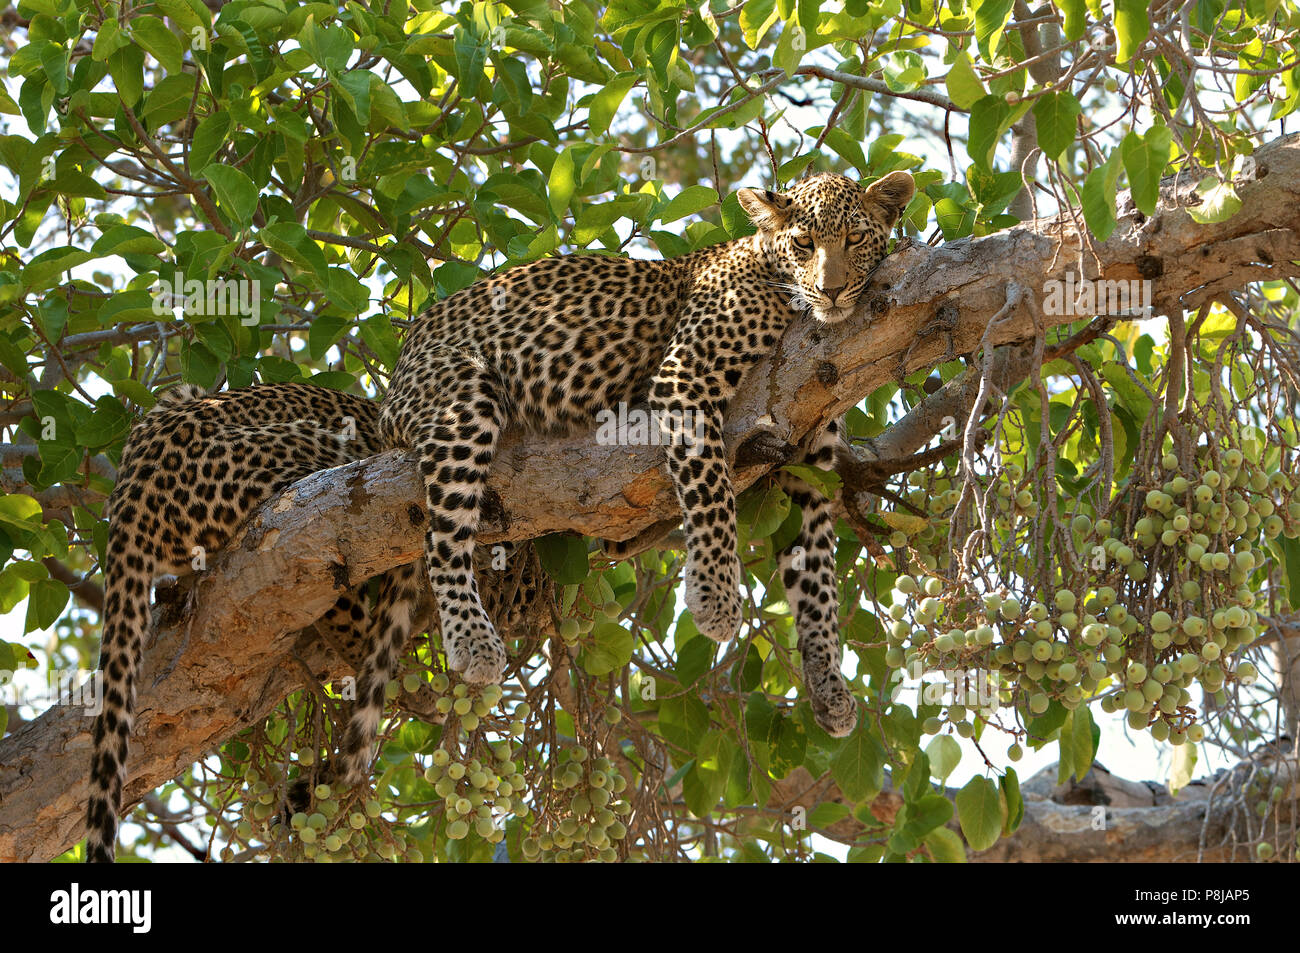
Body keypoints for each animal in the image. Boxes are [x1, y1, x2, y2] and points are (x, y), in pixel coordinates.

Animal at [375, 169, 916, 740]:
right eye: (804, 244)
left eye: (854, 239)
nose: (831, 290)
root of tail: (393, 382)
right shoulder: (685, 375)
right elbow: (712, 493)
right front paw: (715, 597)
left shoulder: (808, 463)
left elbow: (817, 581)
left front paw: (830, 684)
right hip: (462, 399)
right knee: (442, 538)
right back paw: (472, 640)